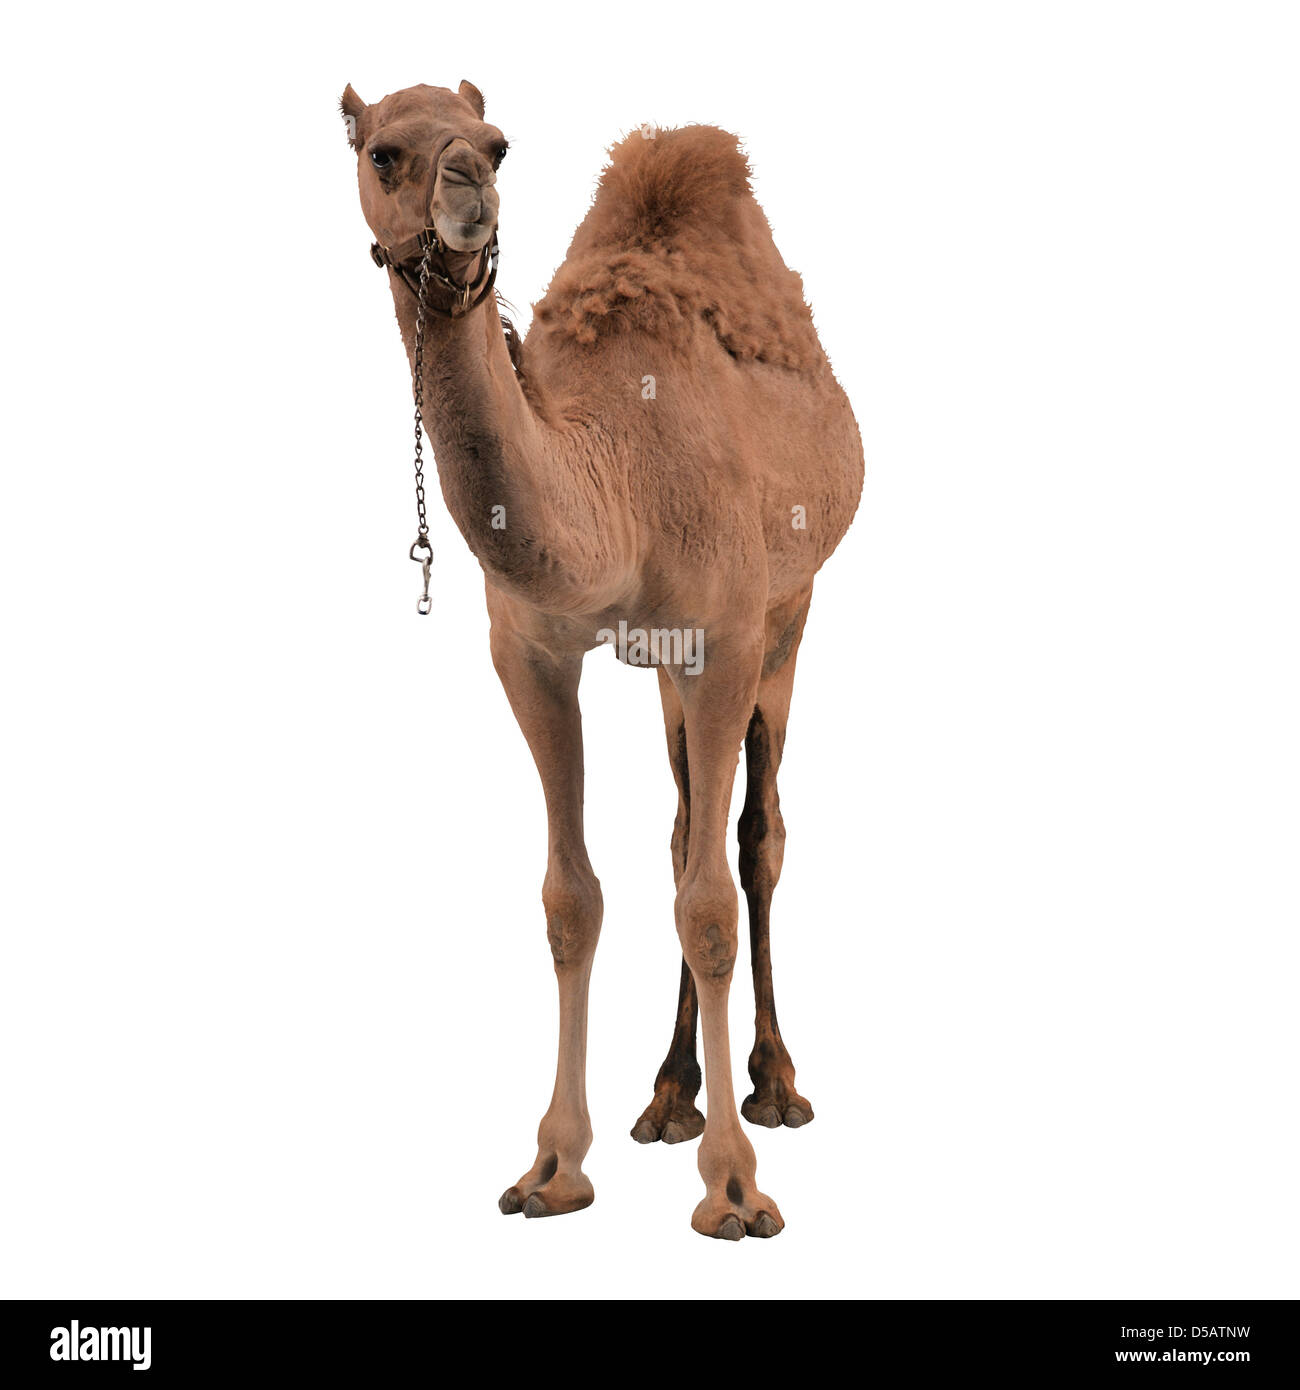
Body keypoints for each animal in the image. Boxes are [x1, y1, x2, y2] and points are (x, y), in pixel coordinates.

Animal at [340, 80, 863, 1239]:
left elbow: (712, 901)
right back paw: (667, 1096)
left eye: (497, 145)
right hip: (669, 666)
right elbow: (571, 897)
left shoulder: (727, 634)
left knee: (753, 837)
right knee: (681, 832)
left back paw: (773, 1085)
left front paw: (734, 1188)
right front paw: (552, 1166)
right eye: (384, 151)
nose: (468, 191)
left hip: (790, 610)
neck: (620, 468)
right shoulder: (531, 652)